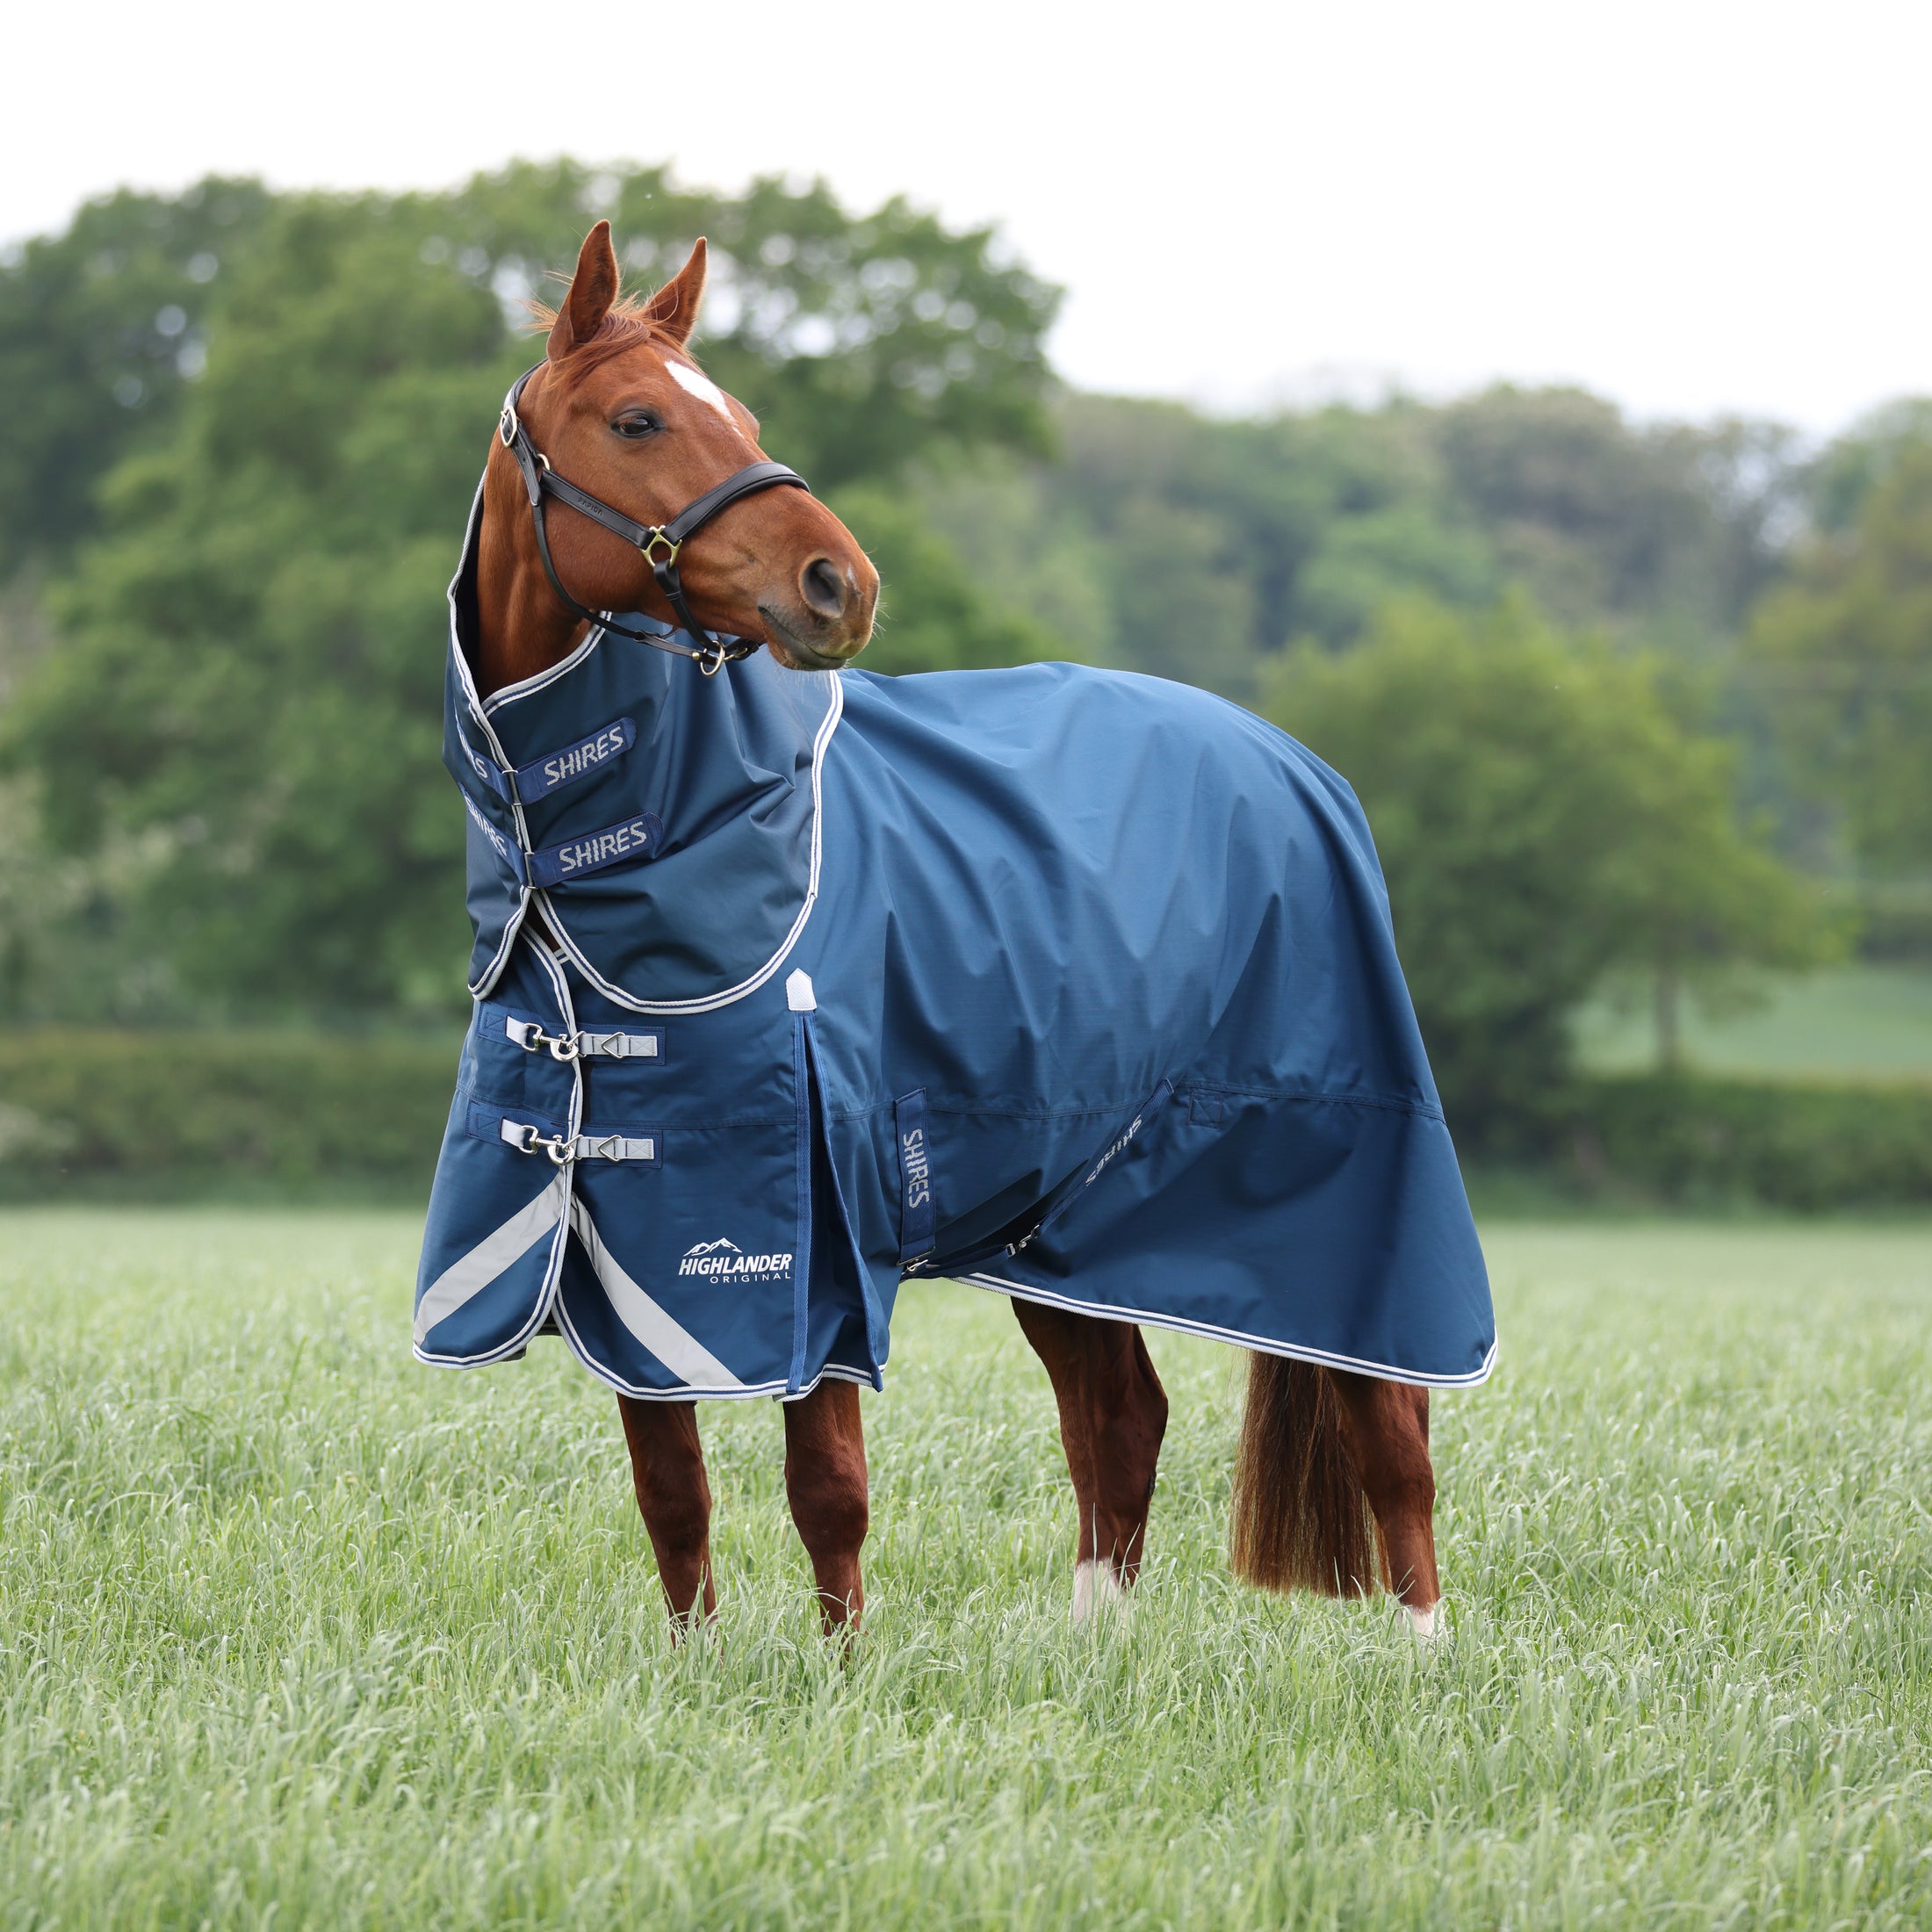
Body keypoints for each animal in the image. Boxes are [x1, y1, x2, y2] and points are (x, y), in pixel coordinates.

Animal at [419, 220, 1494, 1640]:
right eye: (638, 417)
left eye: (742, 415)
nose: (840, 584)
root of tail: (1297, 764)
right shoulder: (628, 1249)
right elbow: (673, 1493)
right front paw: (696, 1664)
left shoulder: (813, 1223)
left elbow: (826, 1487)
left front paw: (839, 1669)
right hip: (1063, 1222)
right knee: (1120, 1419)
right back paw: (1099, 1646)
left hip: (1346, 1177)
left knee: (1391, 1425)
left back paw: (1421, 1655)